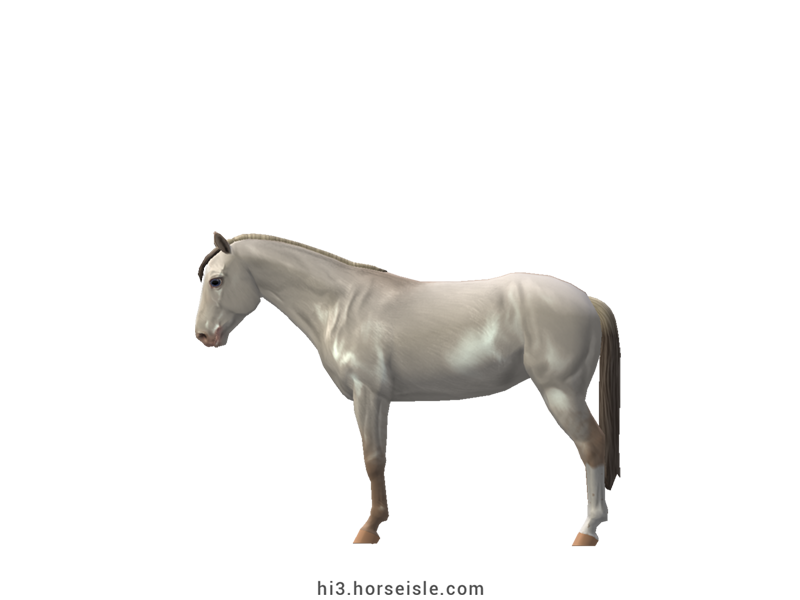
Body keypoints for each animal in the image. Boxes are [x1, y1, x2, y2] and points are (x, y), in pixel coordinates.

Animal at [196, 233, 620, 539]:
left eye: (216, 281)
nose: (203, 335)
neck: (342, 305)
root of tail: (586, 300)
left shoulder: (367, 393)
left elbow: (373, 458)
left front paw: (372, 526)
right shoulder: (379, 397)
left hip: (562, 392)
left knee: (592, 446)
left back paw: (591, 525)